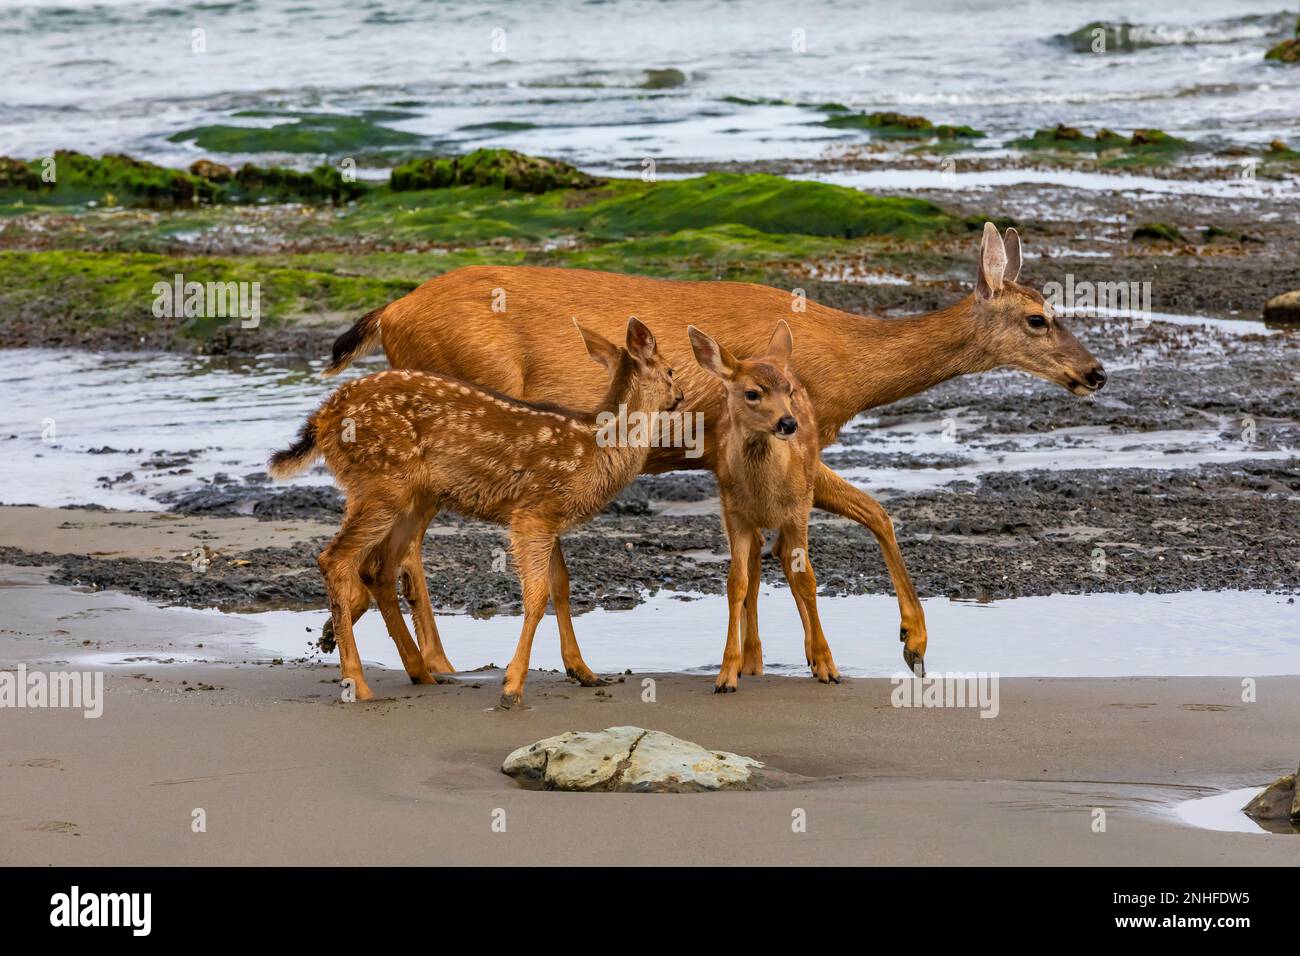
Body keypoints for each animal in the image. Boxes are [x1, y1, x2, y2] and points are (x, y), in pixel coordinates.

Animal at [269, 316, 681, 706]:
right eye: (672, 370)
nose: (679, 396)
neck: (596, 448)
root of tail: (322, 418)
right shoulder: (534, 512)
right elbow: (537, 596)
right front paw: (512, 688)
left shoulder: (546, 516)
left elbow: (561, 586)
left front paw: (585, 672)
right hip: (381, 483)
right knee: (335, 558)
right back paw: (360, 684)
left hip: (409, 496)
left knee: (377, 568)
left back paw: (421, 673)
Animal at [689, 320, 836, 692]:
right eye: (753, 393)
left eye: (788, 390)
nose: (788, 423)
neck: (766, 494)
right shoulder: (736, 516)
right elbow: (736, 584)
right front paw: (726, 674)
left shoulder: (798, 512)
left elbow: (807, 579)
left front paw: (828, 665)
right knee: (755, 570)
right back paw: (751, 660)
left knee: (787, 567)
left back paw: (810, 655)